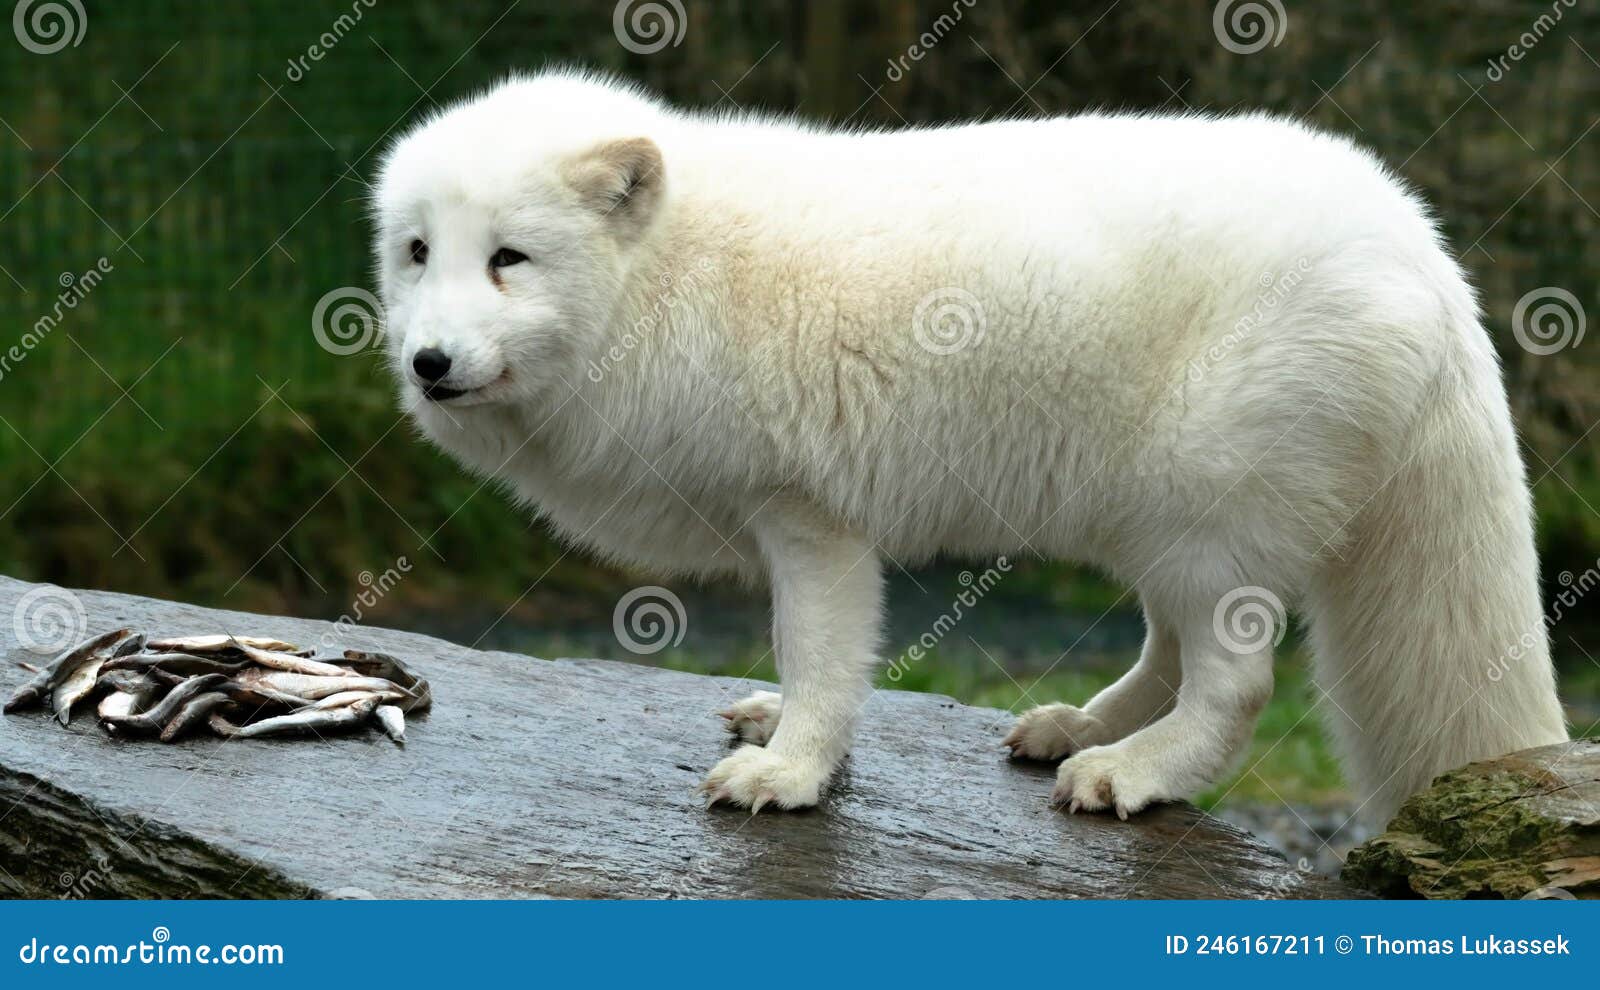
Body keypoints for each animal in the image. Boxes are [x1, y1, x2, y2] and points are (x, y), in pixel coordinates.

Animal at [372, 69, 1566, 824]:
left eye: (510, 259)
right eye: (420, 252)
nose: (426, 363)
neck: (678, 273)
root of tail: (1425, 247)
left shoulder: (809, 517)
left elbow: (818, 655)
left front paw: (789, 773)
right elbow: (813, 664)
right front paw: (785, 732)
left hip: (1206, 518)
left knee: (1234, 685)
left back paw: (1131, 773)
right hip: (1154, 519)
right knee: (1171, 651)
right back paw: (1077, 728)